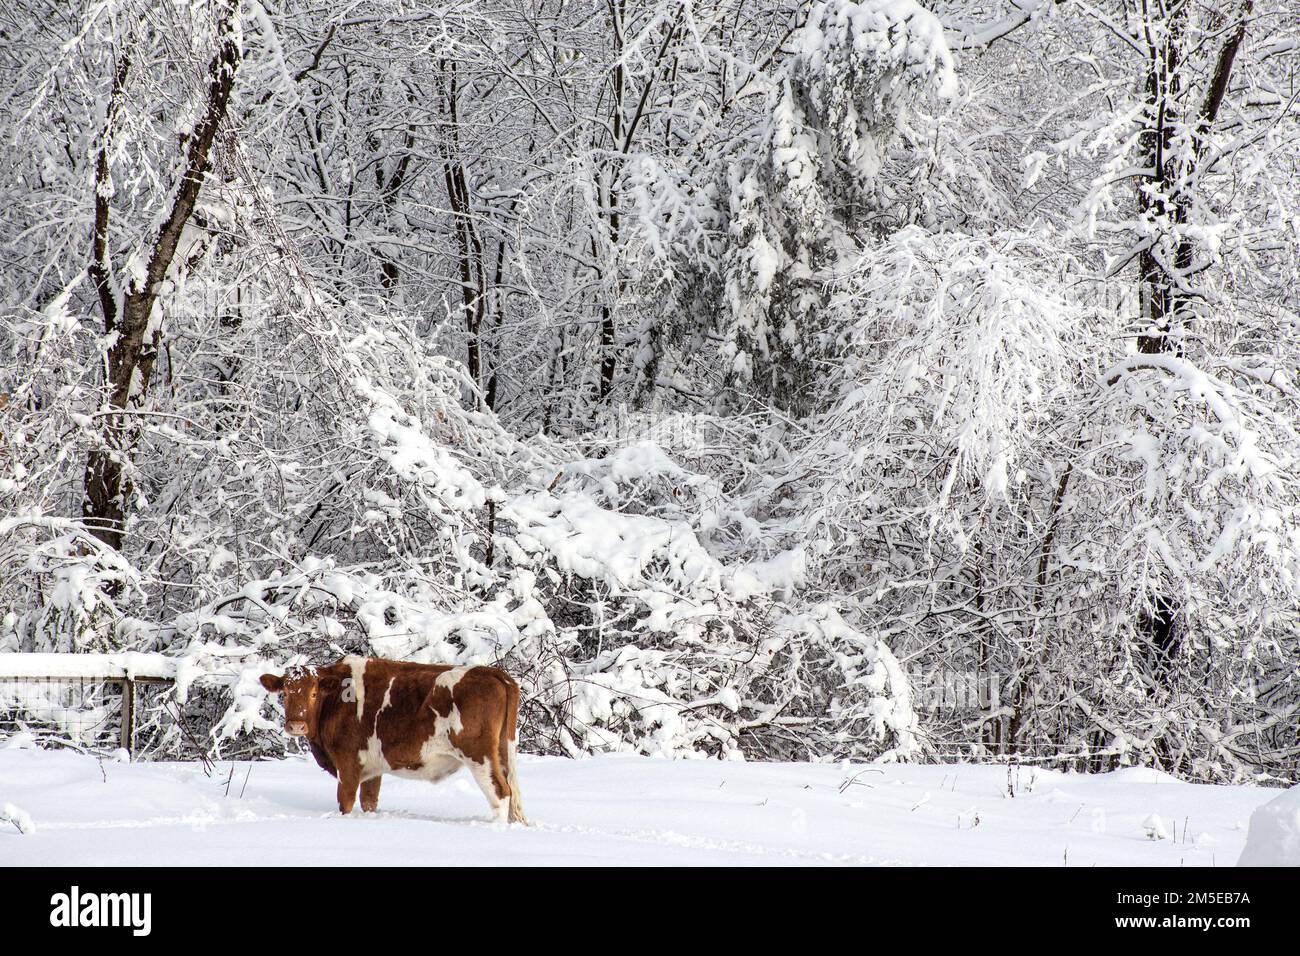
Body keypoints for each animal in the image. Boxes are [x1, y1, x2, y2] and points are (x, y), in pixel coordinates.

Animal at [259, 656, 526, 824]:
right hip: (503, 752)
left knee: (500, 792)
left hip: (479, 755)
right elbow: (369, 801)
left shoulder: (348, 762)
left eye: (314, 693)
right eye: (284, 693)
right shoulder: (372, 769)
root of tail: (491, 672)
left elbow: (346, 802)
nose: (296, 725)